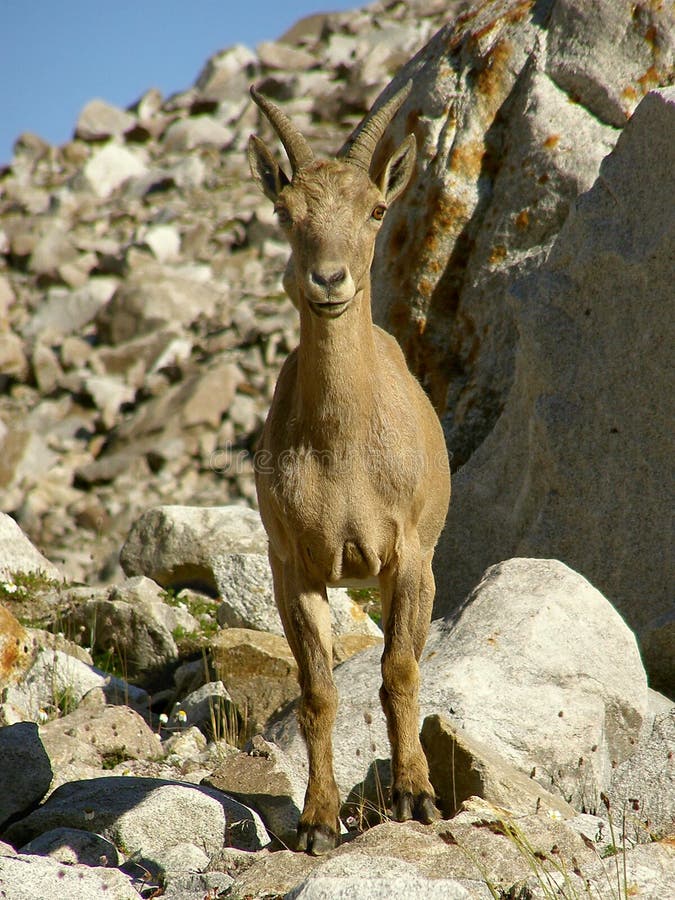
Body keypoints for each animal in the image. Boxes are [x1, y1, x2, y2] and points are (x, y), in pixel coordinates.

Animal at [247, 81, 451, 855]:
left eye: (375, 209)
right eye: (287, 212)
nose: (328, 280)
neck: (343, 459)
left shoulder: (410, 556)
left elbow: (398, 673)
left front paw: (417, 797)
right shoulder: (293, 567)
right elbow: (317, 693)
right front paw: (316, 821)